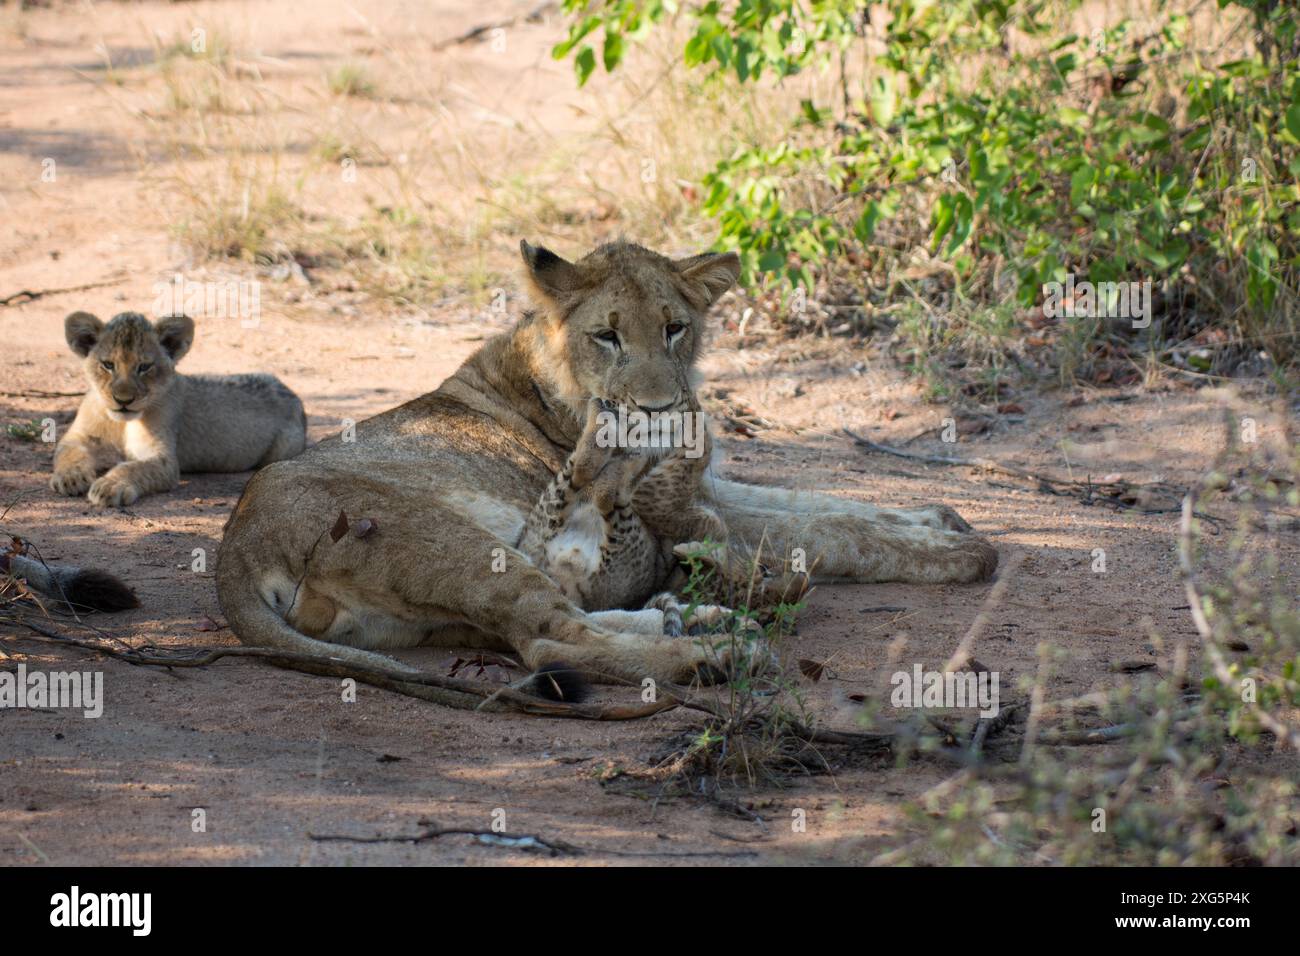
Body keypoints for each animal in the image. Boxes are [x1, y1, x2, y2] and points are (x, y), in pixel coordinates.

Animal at [50, 311, 307, 508]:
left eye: (144, 367)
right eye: (107, 365)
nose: (123, 400)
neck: (122, 422)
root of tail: (291, 392)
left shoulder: (164, 458)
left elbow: (135, 467)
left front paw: (109, 486)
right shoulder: (79, 435)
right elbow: (67, 451)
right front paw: (70, 478)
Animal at [216, 240, 997, 693]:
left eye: (675, 328)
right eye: (608, 336)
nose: (655, 407)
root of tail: (234, 550)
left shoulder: (702, 485)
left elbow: (819, 502)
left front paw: (940, 521)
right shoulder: (667, 504)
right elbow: (828, 531)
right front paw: (959, 552)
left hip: (427, 618)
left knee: (559, 622)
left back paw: (696, 622)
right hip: (459, 545)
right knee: (549, 642)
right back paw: (716, 656)